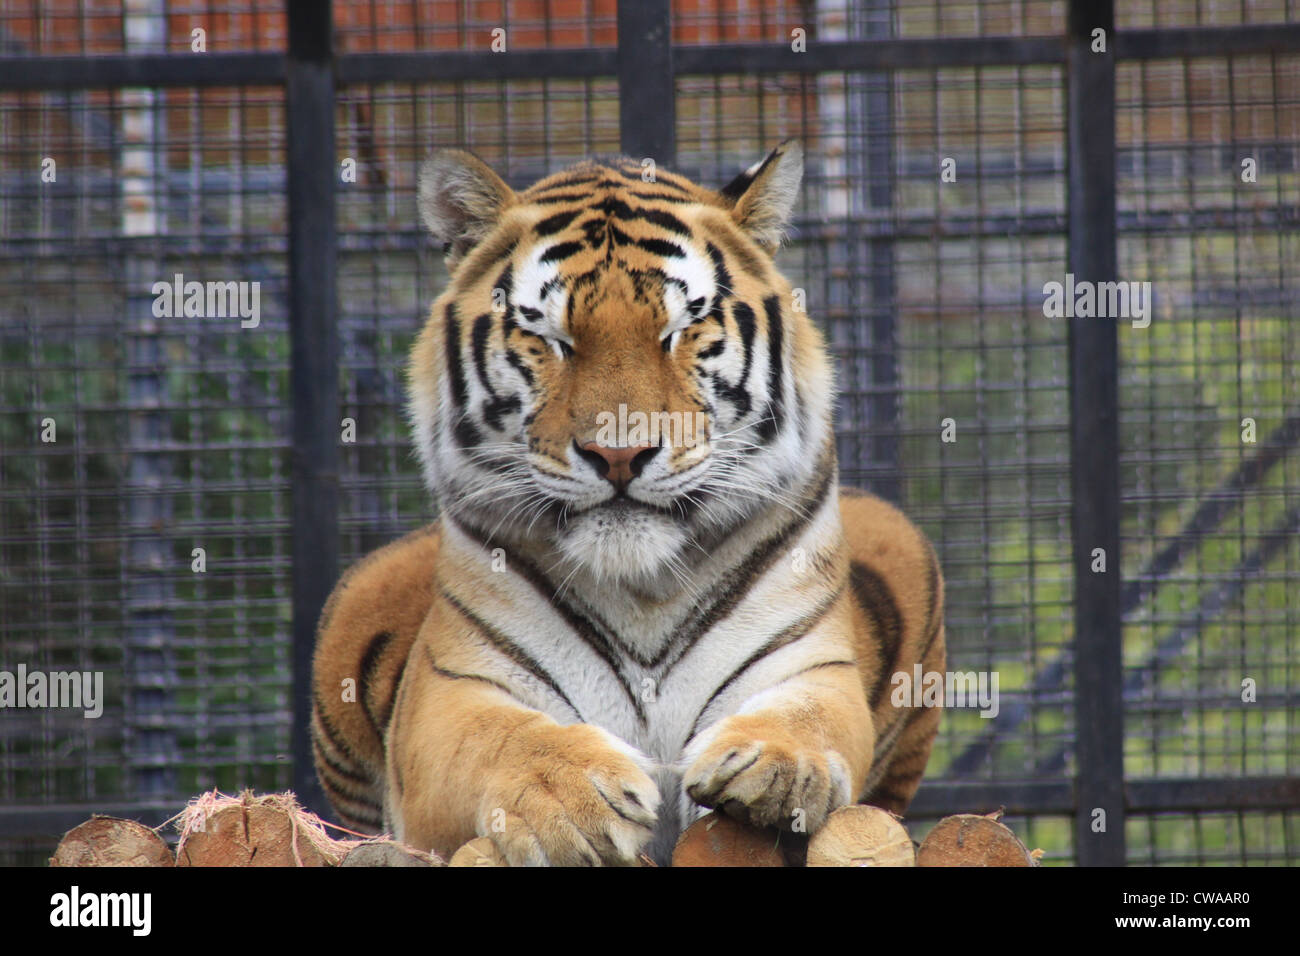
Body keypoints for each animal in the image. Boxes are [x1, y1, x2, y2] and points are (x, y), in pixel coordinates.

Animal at [311, 140, 946, 866]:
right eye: (551, 339)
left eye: (681, 330)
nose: (618, 455)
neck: (643, 588)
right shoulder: (450, 692)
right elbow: (502, 739)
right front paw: (575, 794)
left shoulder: (811, 663)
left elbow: (807, 717)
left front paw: (771, 764)